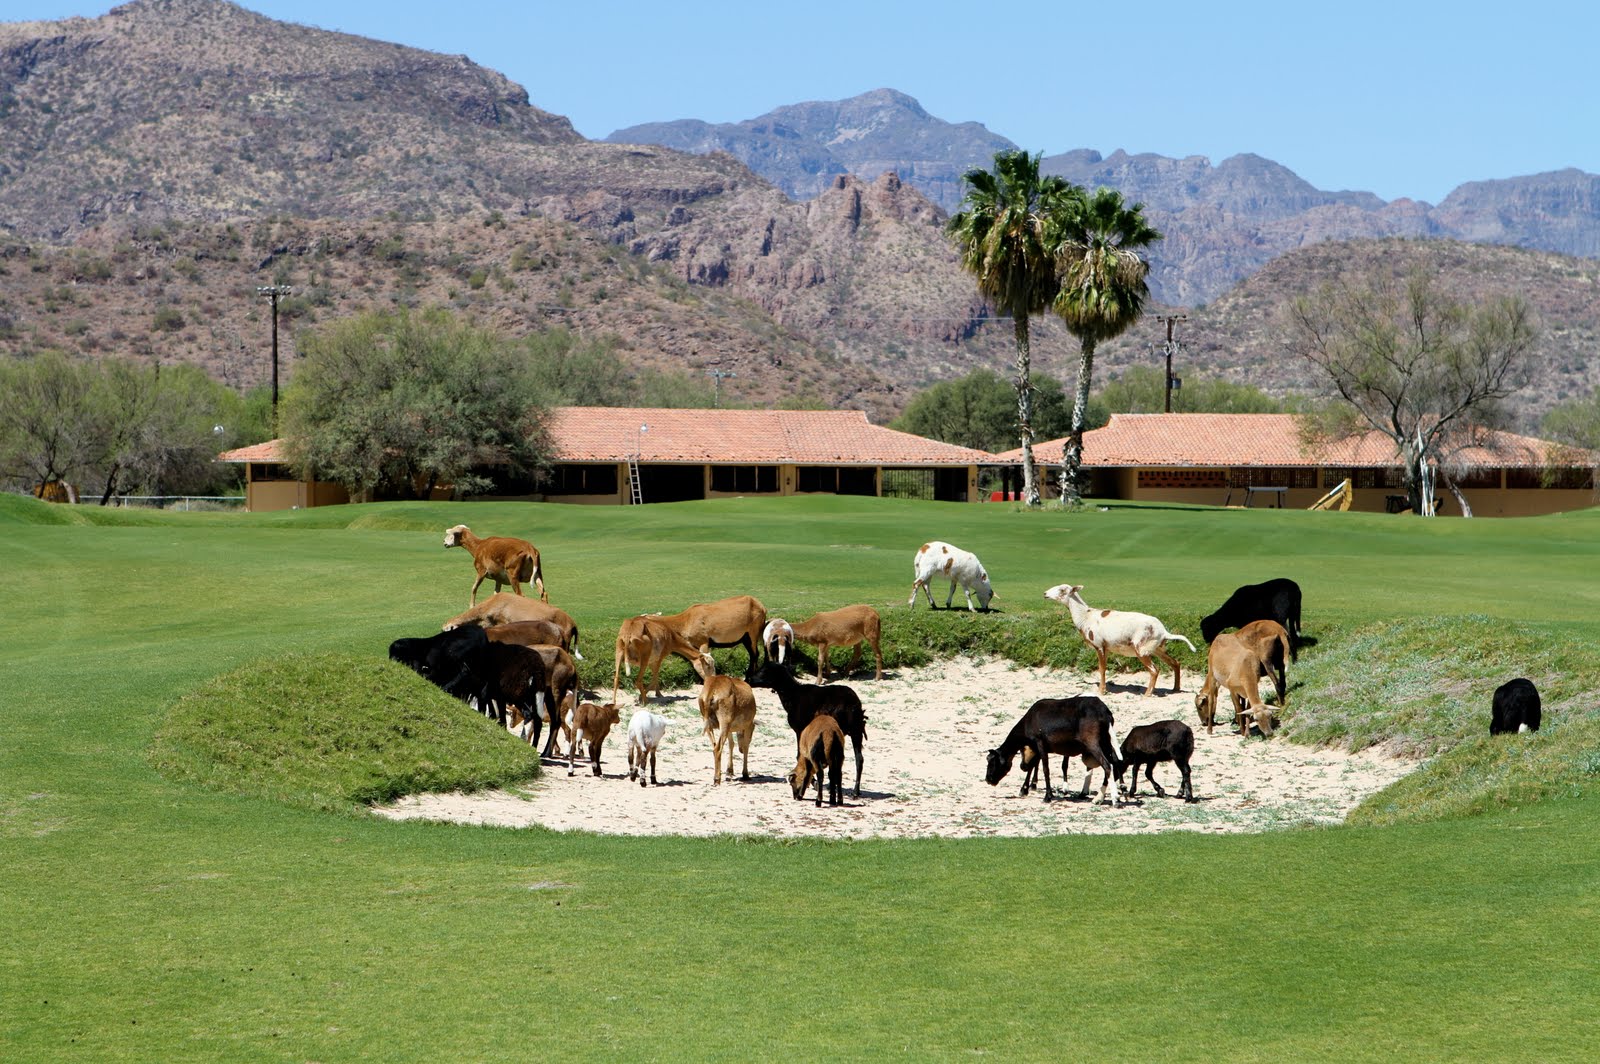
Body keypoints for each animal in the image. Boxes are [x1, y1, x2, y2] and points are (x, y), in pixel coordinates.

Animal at [746, 662, 867, 797]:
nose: (748, 680)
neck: (793, 695)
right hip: (856, 729)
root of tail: (852, 705)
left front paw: (810, 782)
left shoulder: (800, 730)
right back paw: (855, 791)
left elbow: (800, 755)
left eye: (764, 671)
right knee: (859, 759)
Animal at [985, 695, 1123, 804]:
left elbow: (1045, 769)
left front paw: (1047, 796)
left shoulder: (1040, 744)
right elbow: (1032, 766)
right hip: (1105, 740)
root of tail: (1105, 712)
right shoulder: (1036, 747)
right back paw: (1103, 797)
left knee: (1107, 765)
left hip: (1092, 742)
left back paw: (1114, 799)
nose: (988, 779)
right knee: (1115, 762)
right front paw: (1024, 790)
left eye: (992, 762)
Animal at [1045, 583, 1196, 696]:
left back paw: (1147, 694)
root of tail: (1164, 631)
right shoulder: (1106, 648)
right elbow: (1104, 668)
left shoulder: (1099, 646)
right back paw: (1175, 689)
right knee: (1175, 663)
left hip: (1141, 649)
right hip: (1156, 648)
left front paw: (1101, 691)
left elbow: (1101, 668)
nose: (1045, 593)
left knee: (1155, 670)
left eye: (1062, 589)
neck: (1086, 616)